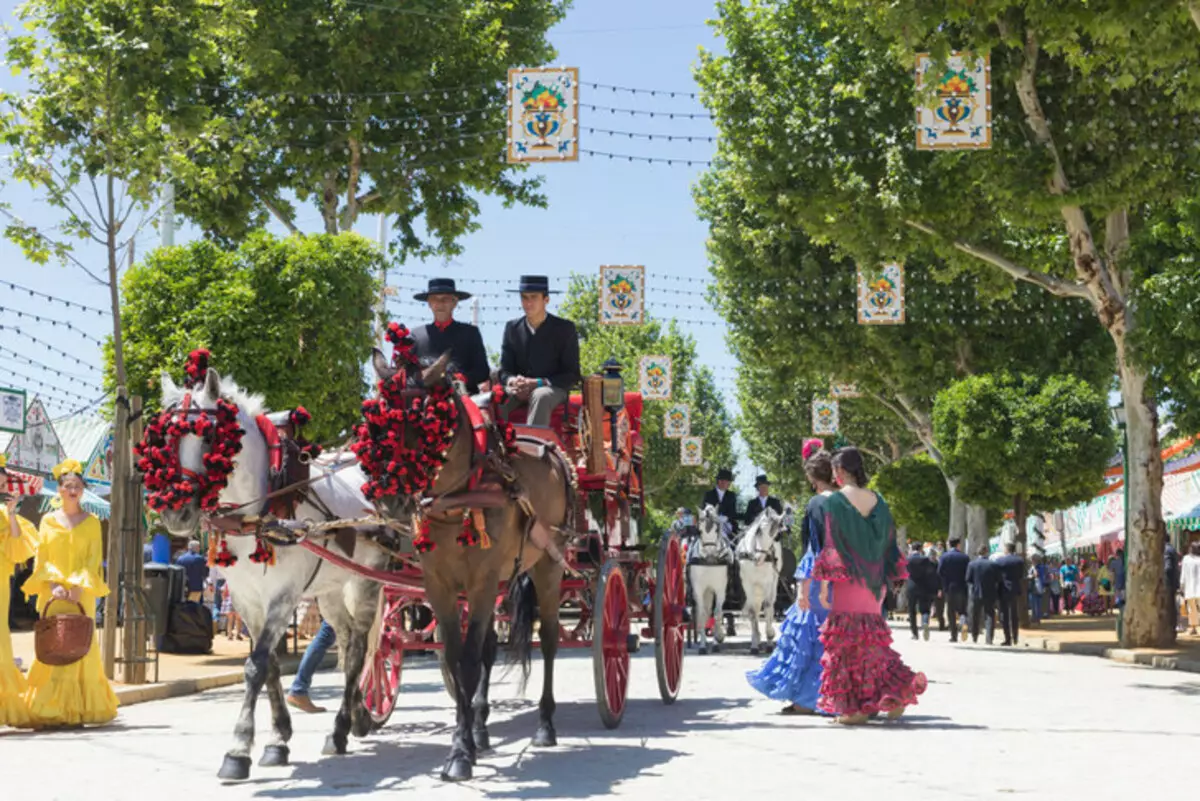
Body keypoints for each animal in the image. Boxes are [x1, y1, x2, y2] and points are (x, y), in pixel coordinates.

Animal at [154, 369, 393, 781]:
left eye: (210, 436)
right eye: (167, 436)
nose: (177, 512)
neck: (259, 510)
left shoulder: (284, 596)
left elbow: (257, 664)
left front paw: (238, 749)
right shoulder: (245, 599)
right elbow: (268, 666)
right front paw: (278, 740)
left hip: (366, 580)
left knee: (360, 648)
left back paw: (341, 728)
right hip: (329, 590)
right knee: (348, 641)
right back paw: (357, 716)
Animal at [362, 347, 573, 781]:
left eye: (421, 418)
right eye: (375, 417)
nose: (389, 499)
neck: (456, 494)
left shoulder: (481, 580)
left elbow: (469, 660)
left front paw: (461, 753)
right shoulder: (439, 583)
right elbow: (456, 657)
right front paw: (465, 741)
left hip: (548, 565)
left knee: (548, 640)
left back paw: (545, 725)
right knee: (492, 645)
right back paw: (481, 728)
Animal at [686, 506, 729, 657]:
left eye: (717, 529)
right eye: (700, 530)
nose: (710, 556)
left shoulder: (720, 589)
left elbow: (717, 613)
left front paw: (716, 642)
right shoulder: (698, 590)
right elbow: (703, 614)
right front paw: (703, 646)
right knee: (703, 611)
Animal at [729, 506, 787, 657]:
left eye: (775, 536)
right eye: (759, 530)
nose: (758, 558)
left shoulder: (767, 583)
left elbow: (767, 607)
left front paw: (770, 638)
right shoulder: (747, 584)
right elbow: (752, 611)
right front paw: (755, 643)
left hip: (772, 584)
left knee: (770, 606)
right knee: (755, 607)